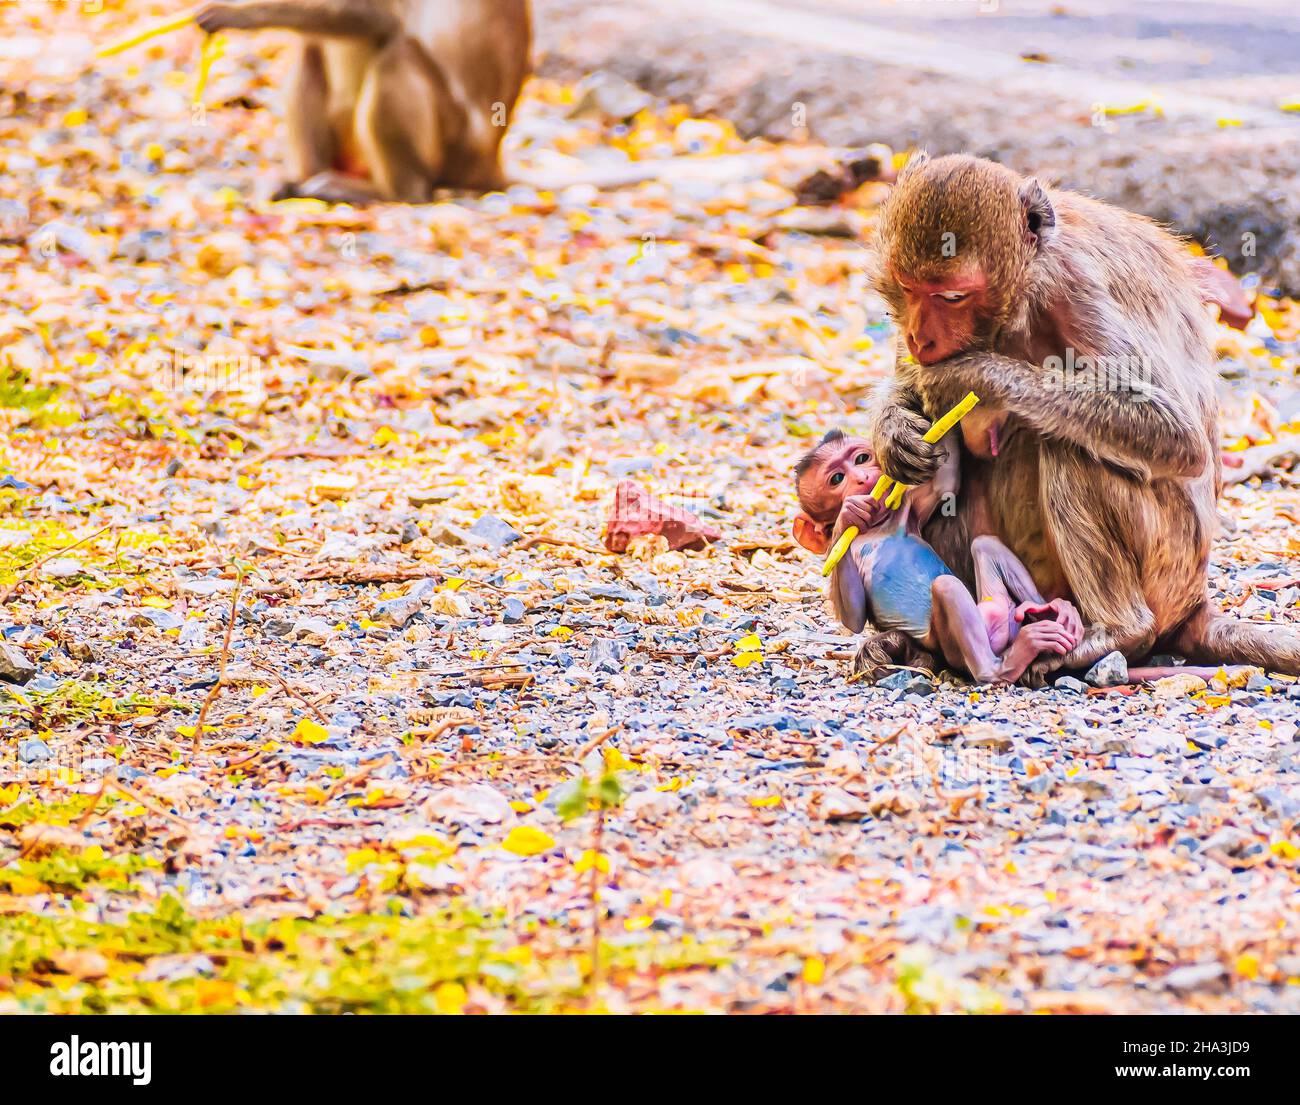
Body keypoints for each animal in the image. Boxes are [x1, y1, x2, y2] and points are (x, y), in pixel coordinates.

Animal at [193, 0, 531, 203]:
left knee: (397, 48)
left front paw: (239, 12)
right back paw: (300, 180)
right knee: (311, 50)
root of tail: (487, 158)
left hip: (455, 143)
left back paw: (393, 192)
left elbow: (376, 15)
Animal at [793, 429, 1084, 684]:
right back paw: (1000, 667)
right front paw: (847, 515)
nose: (863, 477)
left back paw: (1052, 610)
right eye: (837, 479)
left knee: (985, 544)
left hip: (995, 609)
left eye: (862, 458)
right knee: (947, 587)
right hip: (952, 647)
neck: (878, 526)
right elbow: (853, 617)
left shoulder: (910, 506)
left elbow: (946, 482)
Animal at [866, 152, 1300, 685]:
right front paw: (893, 430)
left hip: (1169, 563)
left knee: (1071, 445)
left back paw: (1119, 632)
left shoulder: (1077, 288)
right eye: (908, 288)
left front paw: (968, 376)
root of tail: (1194, 602)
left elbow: (1176, 432)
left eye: (951, 296)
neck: (1027, 286)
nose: (920, 339)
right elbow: (910, 392)